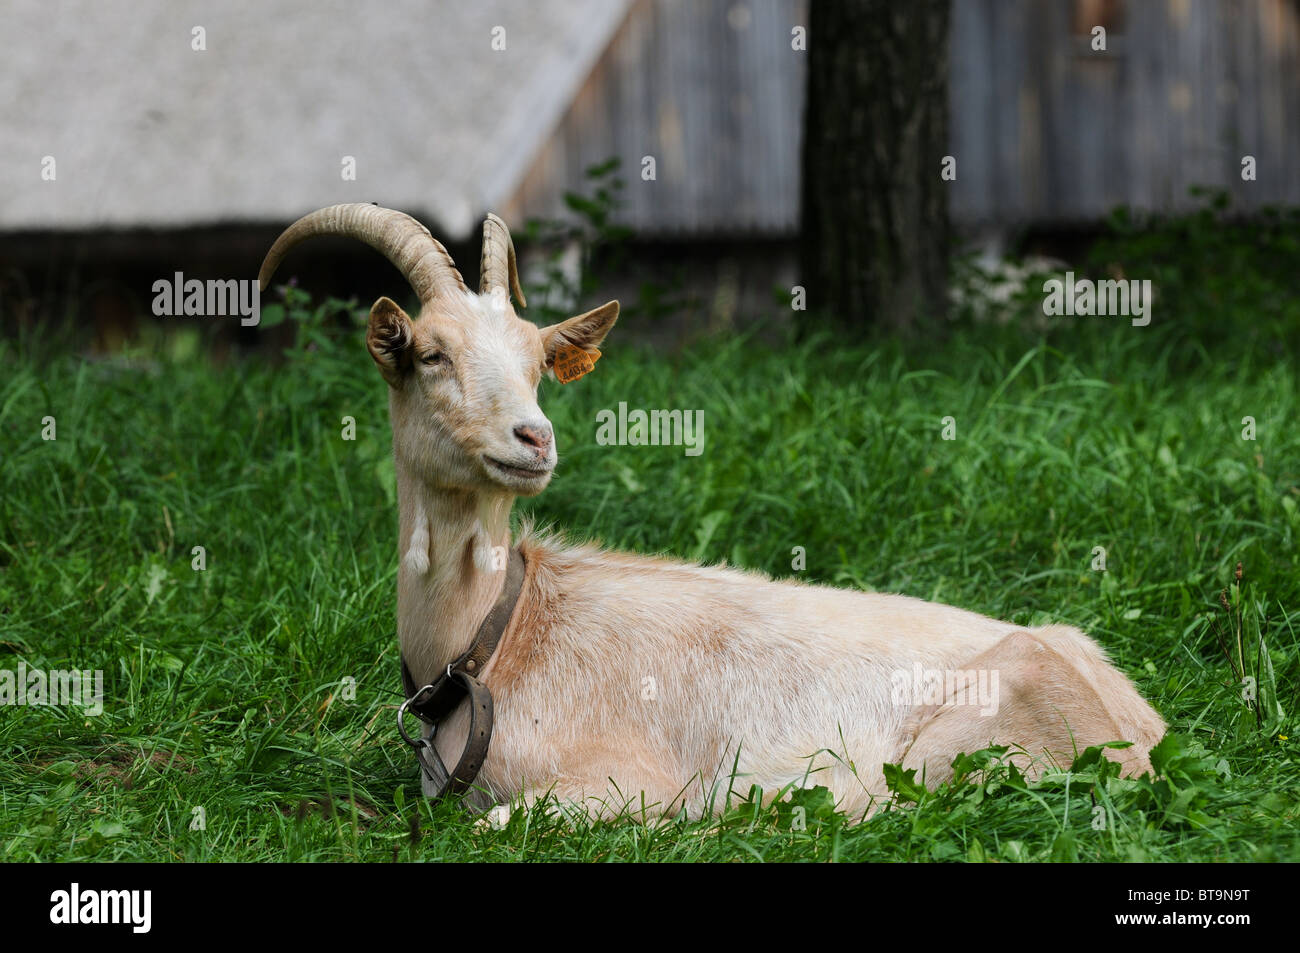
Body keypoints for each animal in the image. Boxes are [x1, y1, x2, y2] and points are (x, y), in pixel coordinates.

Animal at [259, 205, 1166, 822]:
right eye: (431, 353)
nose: (534, 438)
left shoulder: (622, 784)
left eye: (535, 361)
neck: (497, 633)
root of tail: (1141, 727)